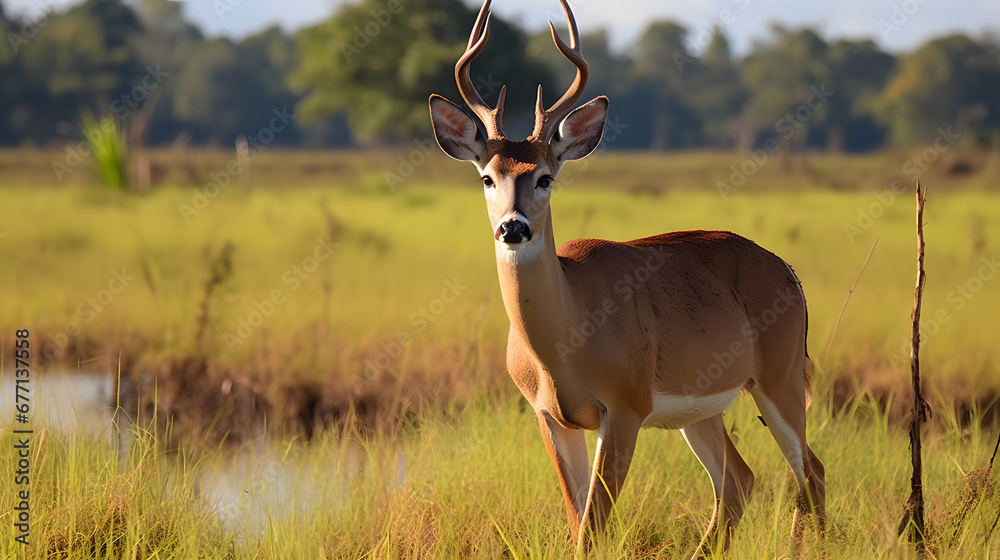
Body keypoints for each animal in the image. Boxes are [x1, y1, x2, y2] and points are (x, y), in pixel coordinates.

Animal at [427, 0, 826, 556]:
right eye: (487, 177)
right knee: (740, 480)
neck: (562, 347)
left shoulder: (625, 408)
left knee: (809, 471)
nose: (513, 227)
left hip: (779, 377)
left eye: (546, 177)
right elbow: (577, 518)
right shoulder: (550, 416)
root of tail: (789, 272)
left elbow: (593, 527)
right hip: (703, 410)